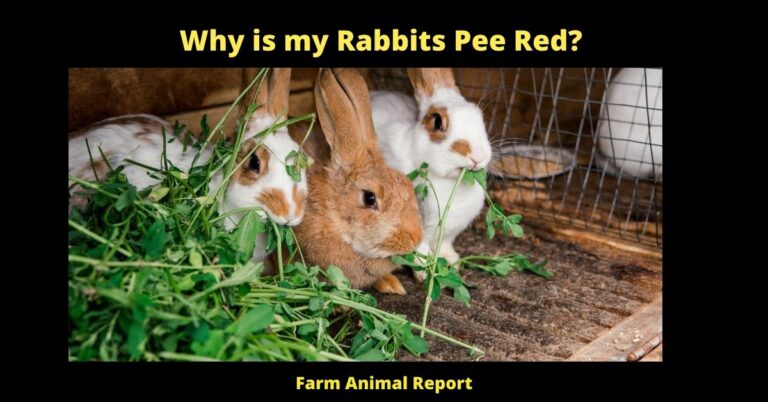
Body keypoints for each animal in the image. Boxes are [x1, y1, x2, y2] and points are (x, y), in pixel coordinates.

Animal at [369, 68, 492, 282]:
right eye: (437, 121)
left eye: (480, 117)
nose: (478, 157)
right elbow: (418, 249)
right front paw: (425, 273)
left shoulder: (449, 232)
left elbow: (444, 245)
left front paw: (451, 261)